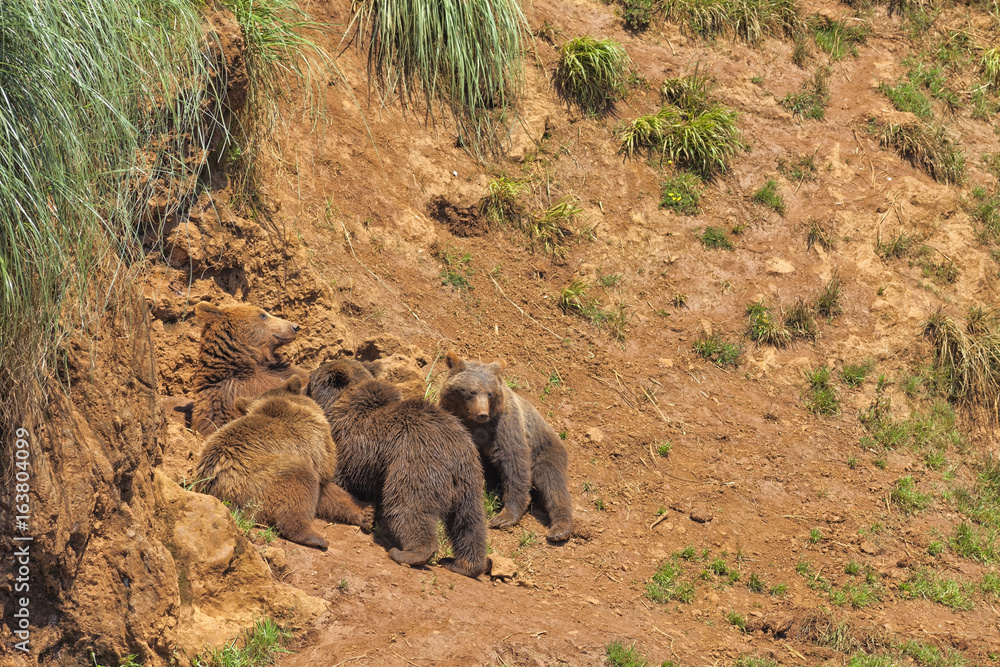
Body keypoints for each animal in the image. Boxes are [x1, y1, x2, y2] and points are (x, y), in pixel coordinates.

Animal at [193, 375, 371, 550]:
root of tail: (218, 488)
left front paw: (367, 513)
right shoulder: (315, 449)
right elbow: (326, 489)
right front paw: (364, 511)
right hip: (261, 480)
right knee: (299, 484)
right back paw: (315, 538)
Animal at [306, 360, 489, 578]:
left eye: (314, 375)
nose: (308, 374)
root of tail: (453, 453)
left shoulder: (351, 446)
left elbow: (339, 476)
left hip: (415, 465)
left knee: (407, 506)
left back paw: (408, 553)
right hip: (470, 478)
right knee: (469, 522)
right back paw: (463, 564)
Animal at [439, 351, 573, 543]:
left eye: (489, 393)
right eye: (472, 391)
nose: (482, 413)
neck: (474, 422)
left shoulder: (504, 426)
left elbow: (514, 461)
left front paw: (504, 517)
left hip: (545, 450)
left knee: (552, 482)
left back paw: (559, 529)